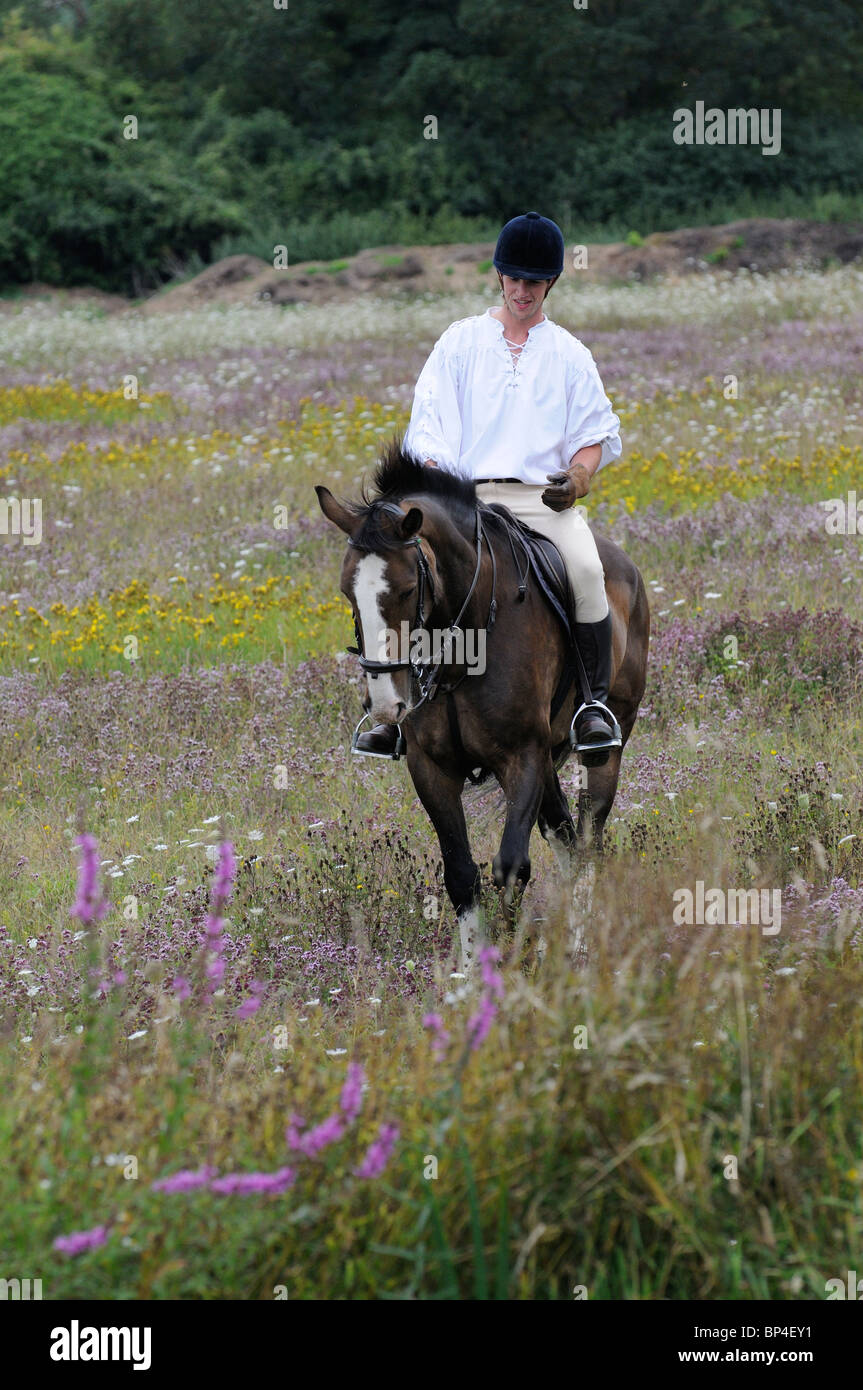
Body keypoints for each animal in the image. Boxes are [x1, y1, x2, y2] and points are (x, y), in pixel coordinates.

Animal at [316, 443, 649, 966]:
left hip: (604, 746)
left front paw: (510, 962)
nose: (388, 704)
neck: (464, 644)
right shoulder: (432, 767)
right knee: (565, 835)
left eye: (407, 590)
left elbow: (511, 865)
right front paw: (474, 973)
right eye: (347, 592)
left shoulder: (522, 755)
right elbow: (461, 874)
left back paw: (579, 942)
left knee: (589, 836)